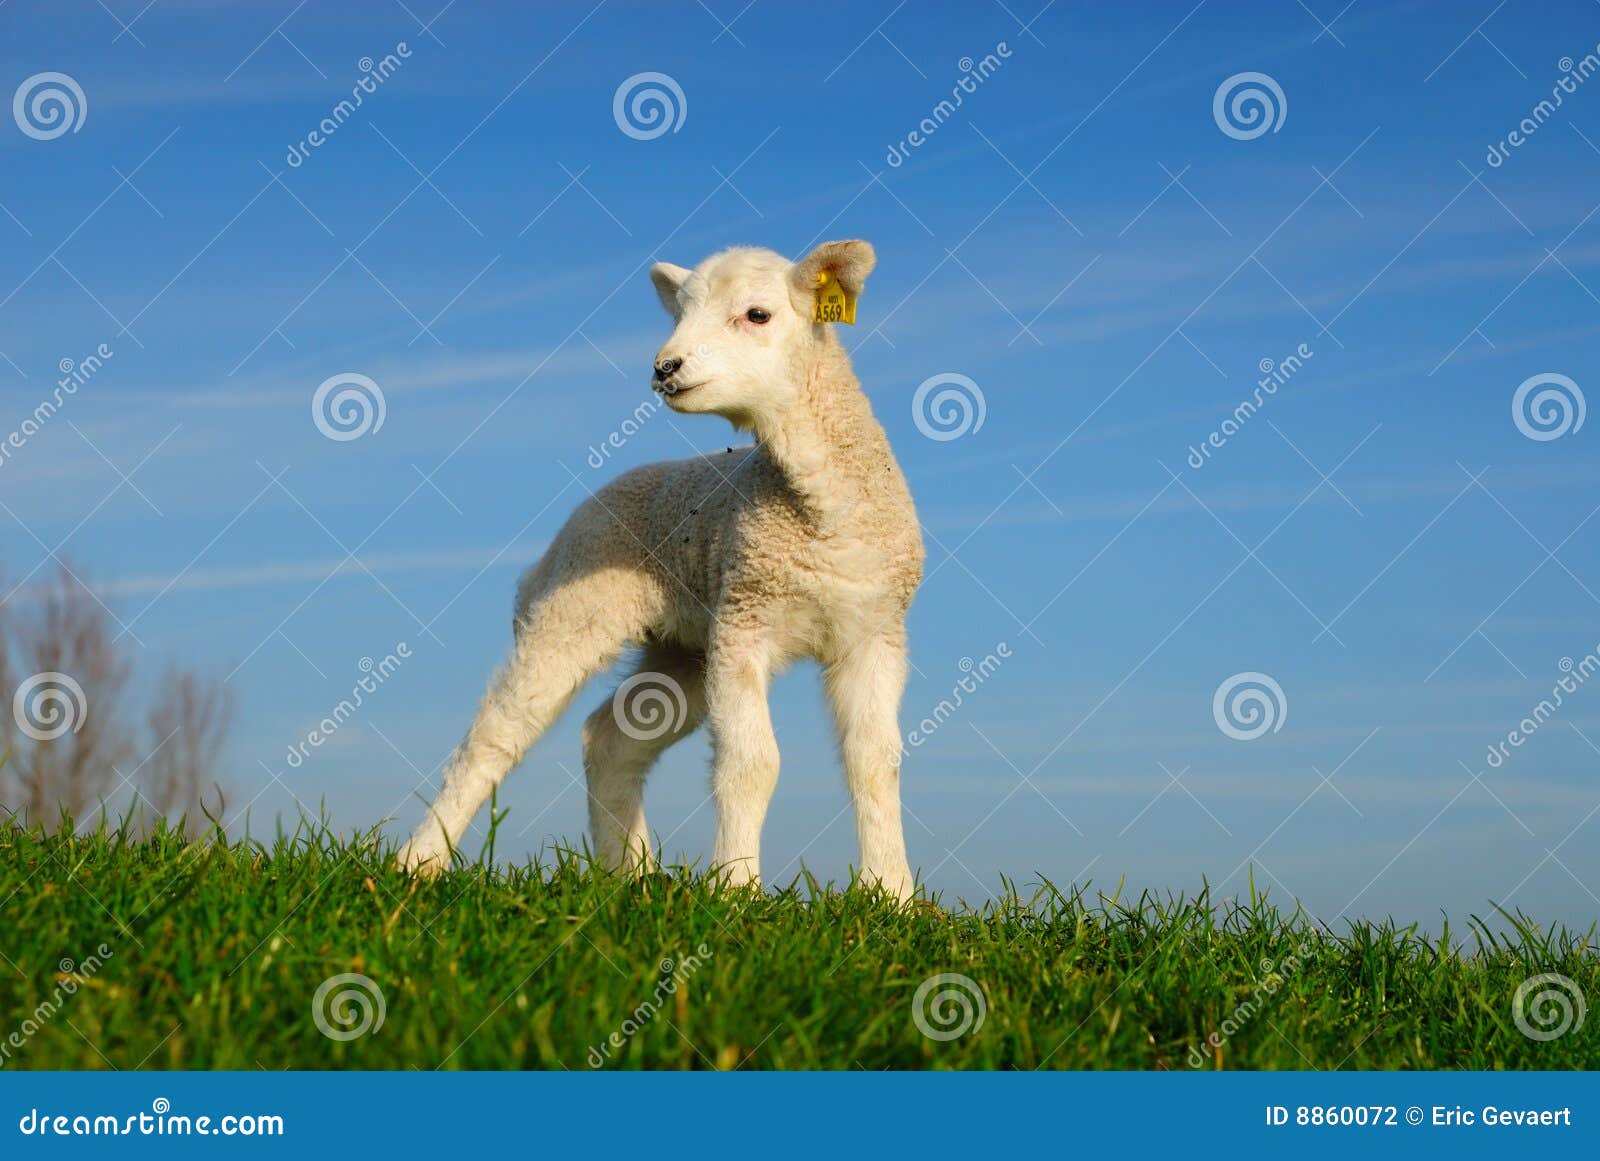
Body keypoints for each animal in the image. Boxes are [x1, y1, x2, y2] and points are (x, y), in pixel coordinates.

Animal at [399, 240, 925, 900]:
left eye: (757, 314)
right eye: (681, 312)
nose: (666, 367)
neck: (822, 515)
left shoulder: (875, 630)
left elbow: (876, 762)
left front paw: (893, 897)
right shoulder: (743, 617)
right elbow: (752, 762)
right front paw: (737, 890)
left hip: (680, 651)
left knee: (610, 741)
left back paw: (631, 878)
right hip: (576, 604)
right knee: (496, 734)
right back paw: (416, 863)